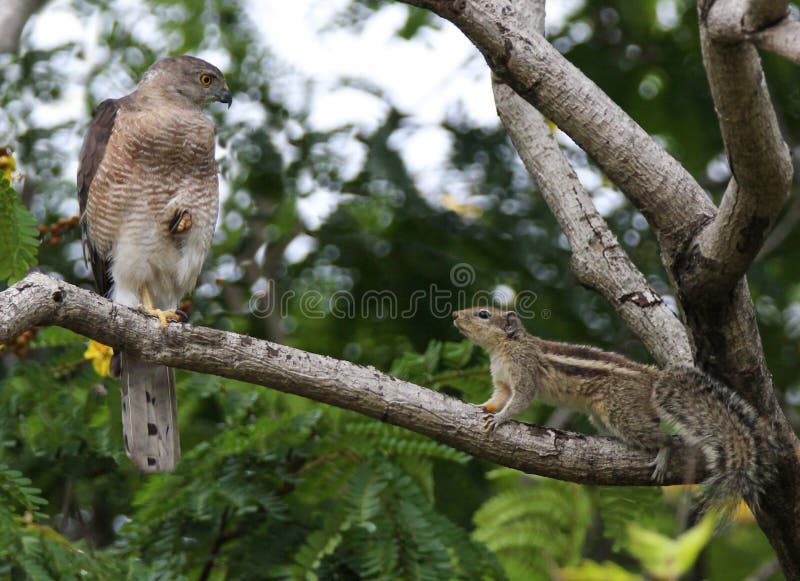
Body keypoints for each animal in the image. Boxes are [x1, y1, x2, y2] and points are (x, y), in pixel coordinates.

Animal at [452, 306, 774, 508]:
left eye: (483, 314)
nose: (455, 315)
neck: (504, 347)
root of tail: (651, 378)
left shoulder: (524, 370)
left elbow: (520, 399)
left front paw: (500, 419)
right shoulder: (502, 383)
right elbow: (498, 397)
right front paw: (483, 407)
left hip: (622, 411)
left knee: (665, 438)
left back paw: (662, 455)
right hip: (606, 416)